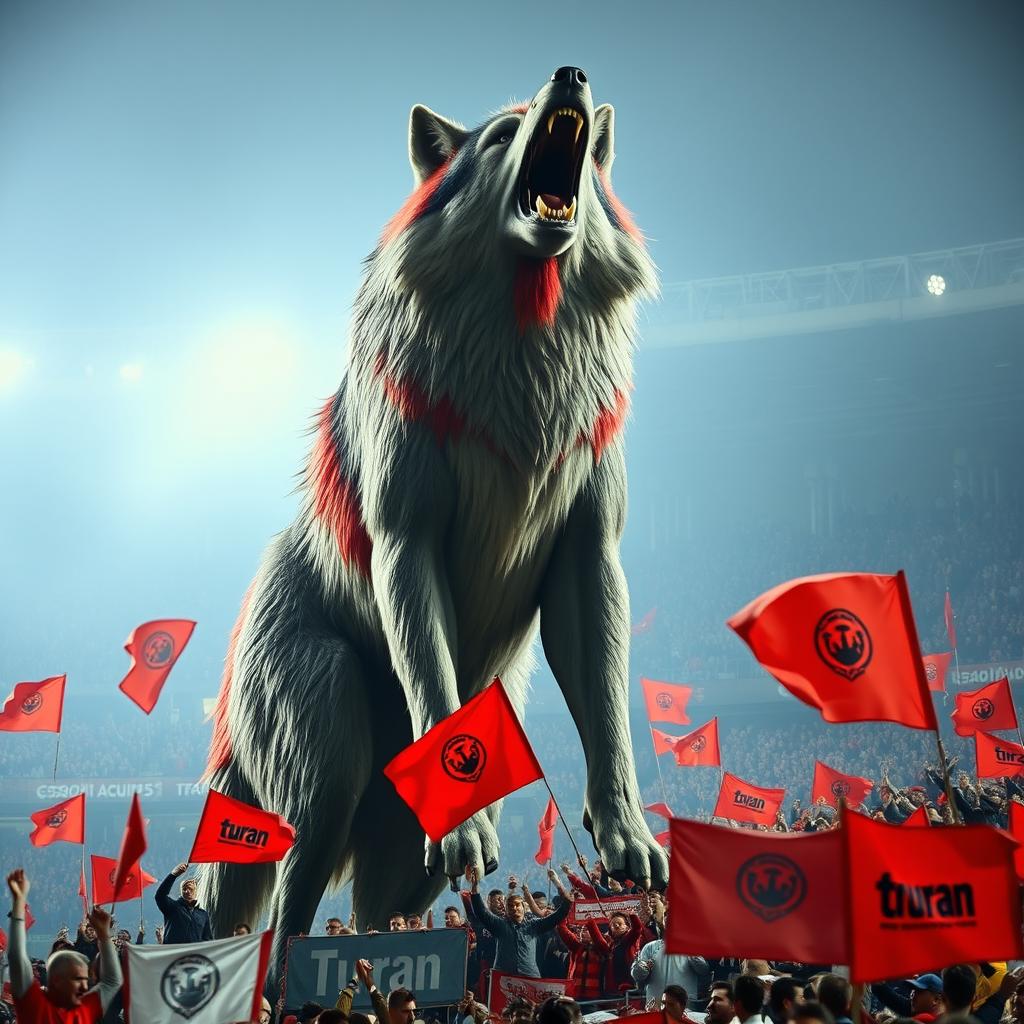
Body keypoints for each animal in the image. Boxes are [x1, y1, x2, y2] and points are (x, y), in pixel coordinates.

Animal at [200, 66, 668, 977]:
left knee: (370, 915)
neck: (524, 366)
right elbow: (436, 682)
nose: (570, 73)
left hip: (396, 865)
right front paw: (465, 823)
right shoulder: (406, 542)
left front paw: (626, 837)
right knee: (285, 912)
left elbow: (607, 702)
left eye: (573, 135)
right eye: (502, 134)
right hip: (324, 749)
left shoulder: (590, 553)